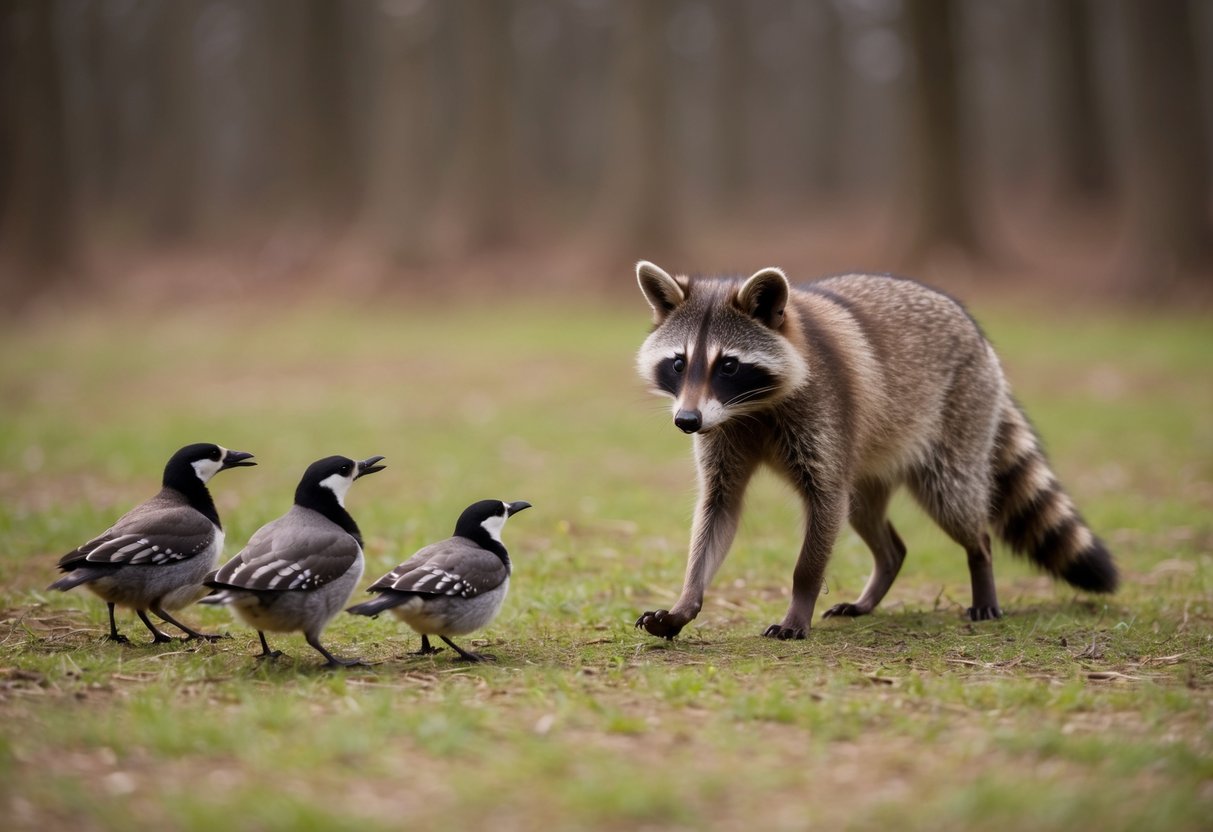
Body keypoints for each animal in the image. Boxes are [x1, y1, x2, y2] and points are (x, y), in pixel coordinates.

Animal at [632, 261, 1118, 640]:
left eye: (729, 366)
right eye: (679, 363)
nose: (686, 421)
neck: (751, 407)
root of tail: (977, 334)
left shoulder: (823, 415)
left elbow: (820, 517)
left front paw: (799, 605)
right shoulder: (725, 435)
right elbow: (719, 508)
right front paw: (687, 600)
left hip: (959, 419)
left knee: (956, 504)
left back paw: (981, 564)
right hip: (868, 462)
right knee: (869, 519)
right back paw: (881, 573)